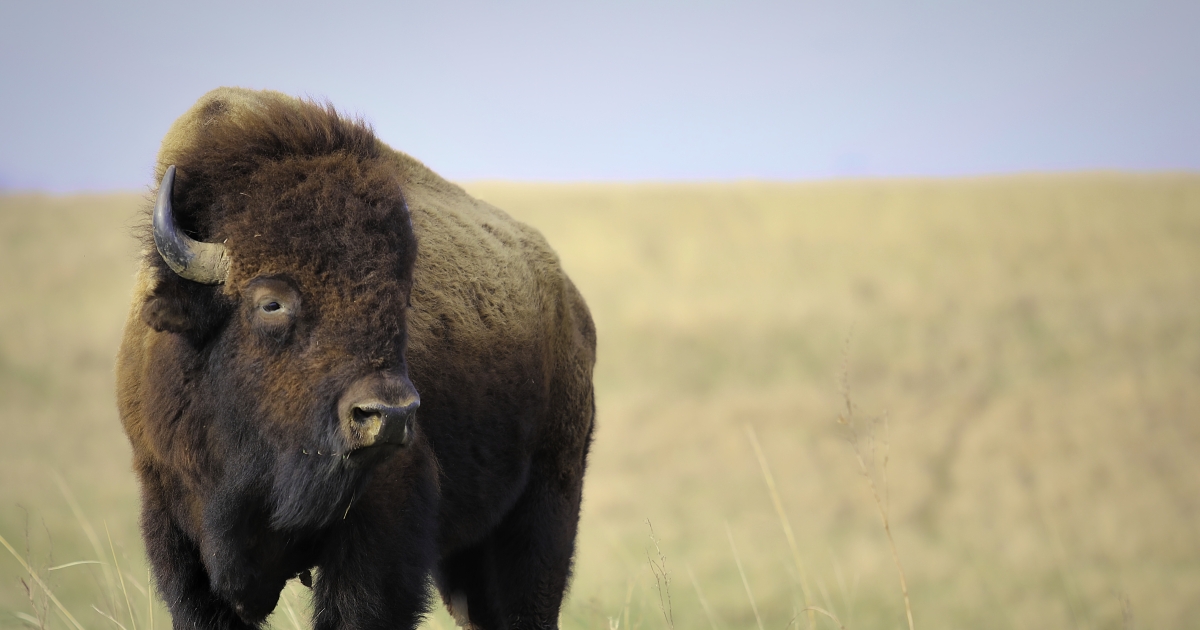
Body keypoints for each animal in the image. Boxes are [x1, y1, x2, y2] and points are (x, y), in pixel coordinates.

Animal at [115, 88, 596, 630]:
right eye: (270, 302)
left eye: (401, 298)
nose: (389, 415)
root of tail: (569, 303)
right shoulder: (172, 522)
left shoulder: (379, 526)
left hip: (548, 501)